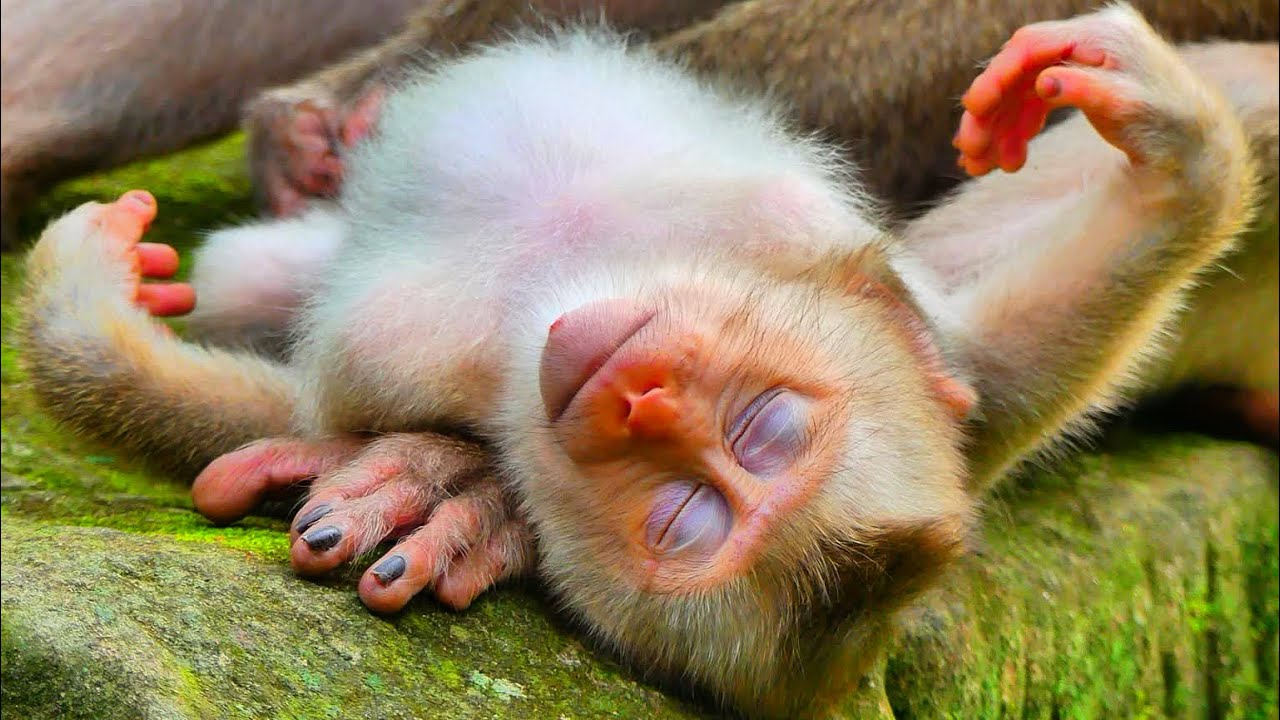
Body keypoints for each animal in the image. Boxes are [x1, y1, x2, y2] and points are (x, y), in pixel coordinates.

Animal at [17, 6, 1279, 717]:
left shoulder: (417, 368)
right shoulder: (815, 246)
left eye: (675, 519)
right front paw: (1172, 152)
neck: (551, 289)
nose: (638, 395)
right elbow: (974, 354)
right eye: (768, 429)